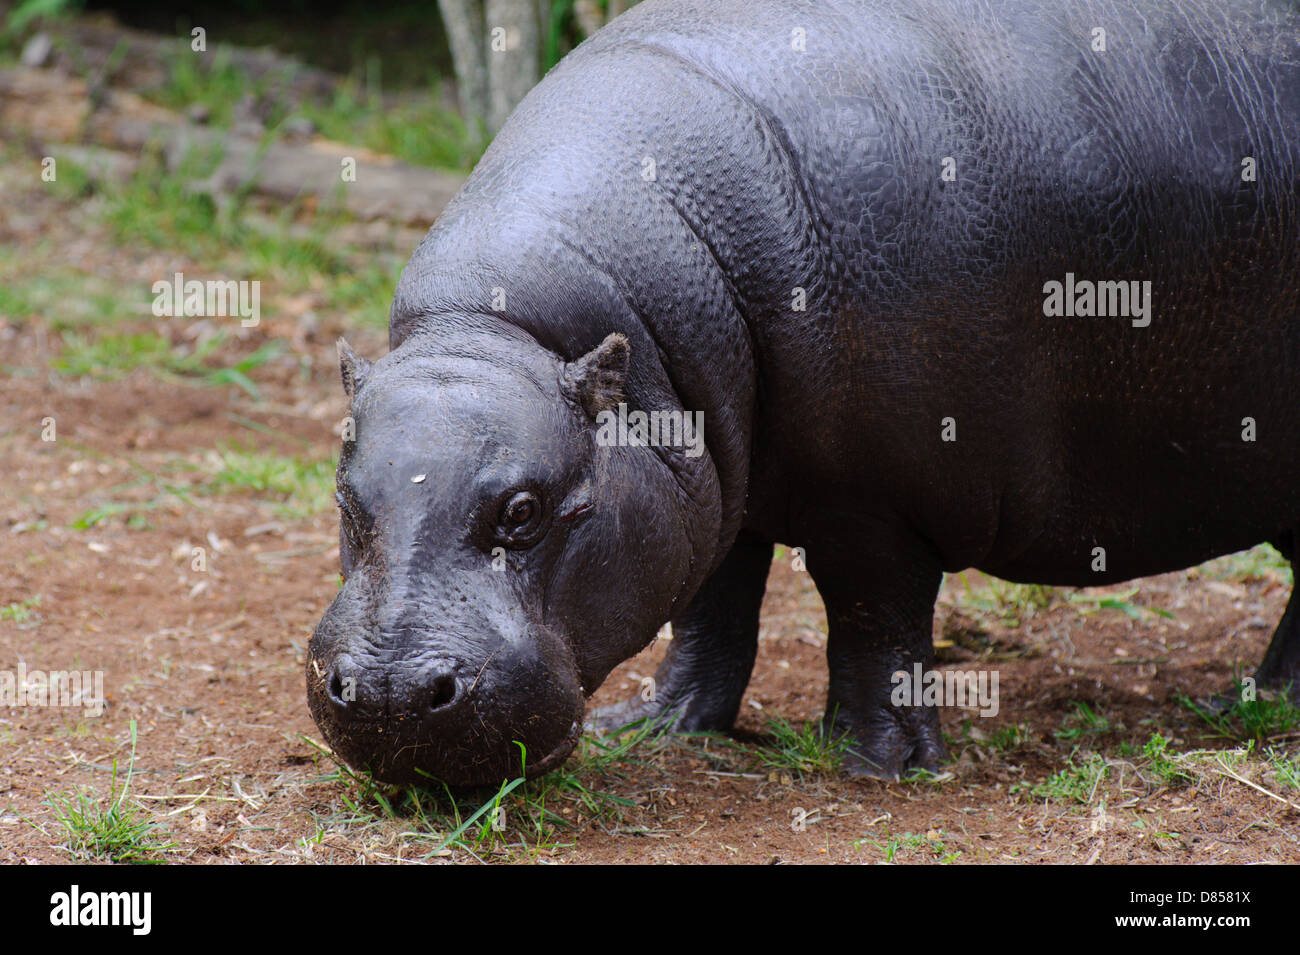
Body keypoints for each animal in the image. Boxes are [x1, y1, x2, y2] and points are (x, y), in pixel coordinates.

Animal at [307, 0, 1300, 786]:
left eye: (523, 509)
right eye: (345, 497)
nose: (393, 691)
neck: (502, 334)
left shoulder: (880, 498)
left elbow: (870, 612)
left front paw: (873, 764)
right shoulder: (709, 467)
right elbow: (712, 600)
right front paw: (660, 728)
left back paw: (1251, 708)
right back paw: (1256, 702)